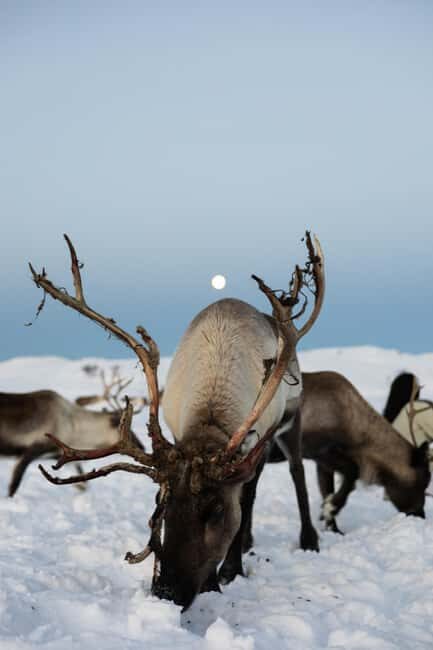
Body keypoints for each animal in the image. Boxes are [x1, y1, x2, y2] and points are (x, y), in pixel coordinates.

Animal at [0, 389, 144, 497]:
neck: (74, 427)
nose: (142, 446)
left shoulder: (63, 455)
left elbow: (83, 483)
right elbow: (14, 485)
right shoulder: (31, 450)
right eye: (122, 428)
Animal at [30, 232, 324, 611]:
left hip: (292, 416)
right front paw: (216, 575)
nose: (166, 592)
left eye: (215, 511)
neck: (209, 422)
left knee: (294, 471)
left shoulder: (256, 441)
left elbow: (245, 499)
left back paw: (307, 539)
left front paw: (229, 571)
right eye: (162, 506)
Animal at [267, 371, 431, 534]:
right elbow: (353, 472)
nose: (420, 515)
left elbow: (327, 490)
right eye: (423, 482)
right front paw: (331, 508)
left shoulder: (322, 462)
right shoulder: (316, 450)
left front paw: (334, 528)